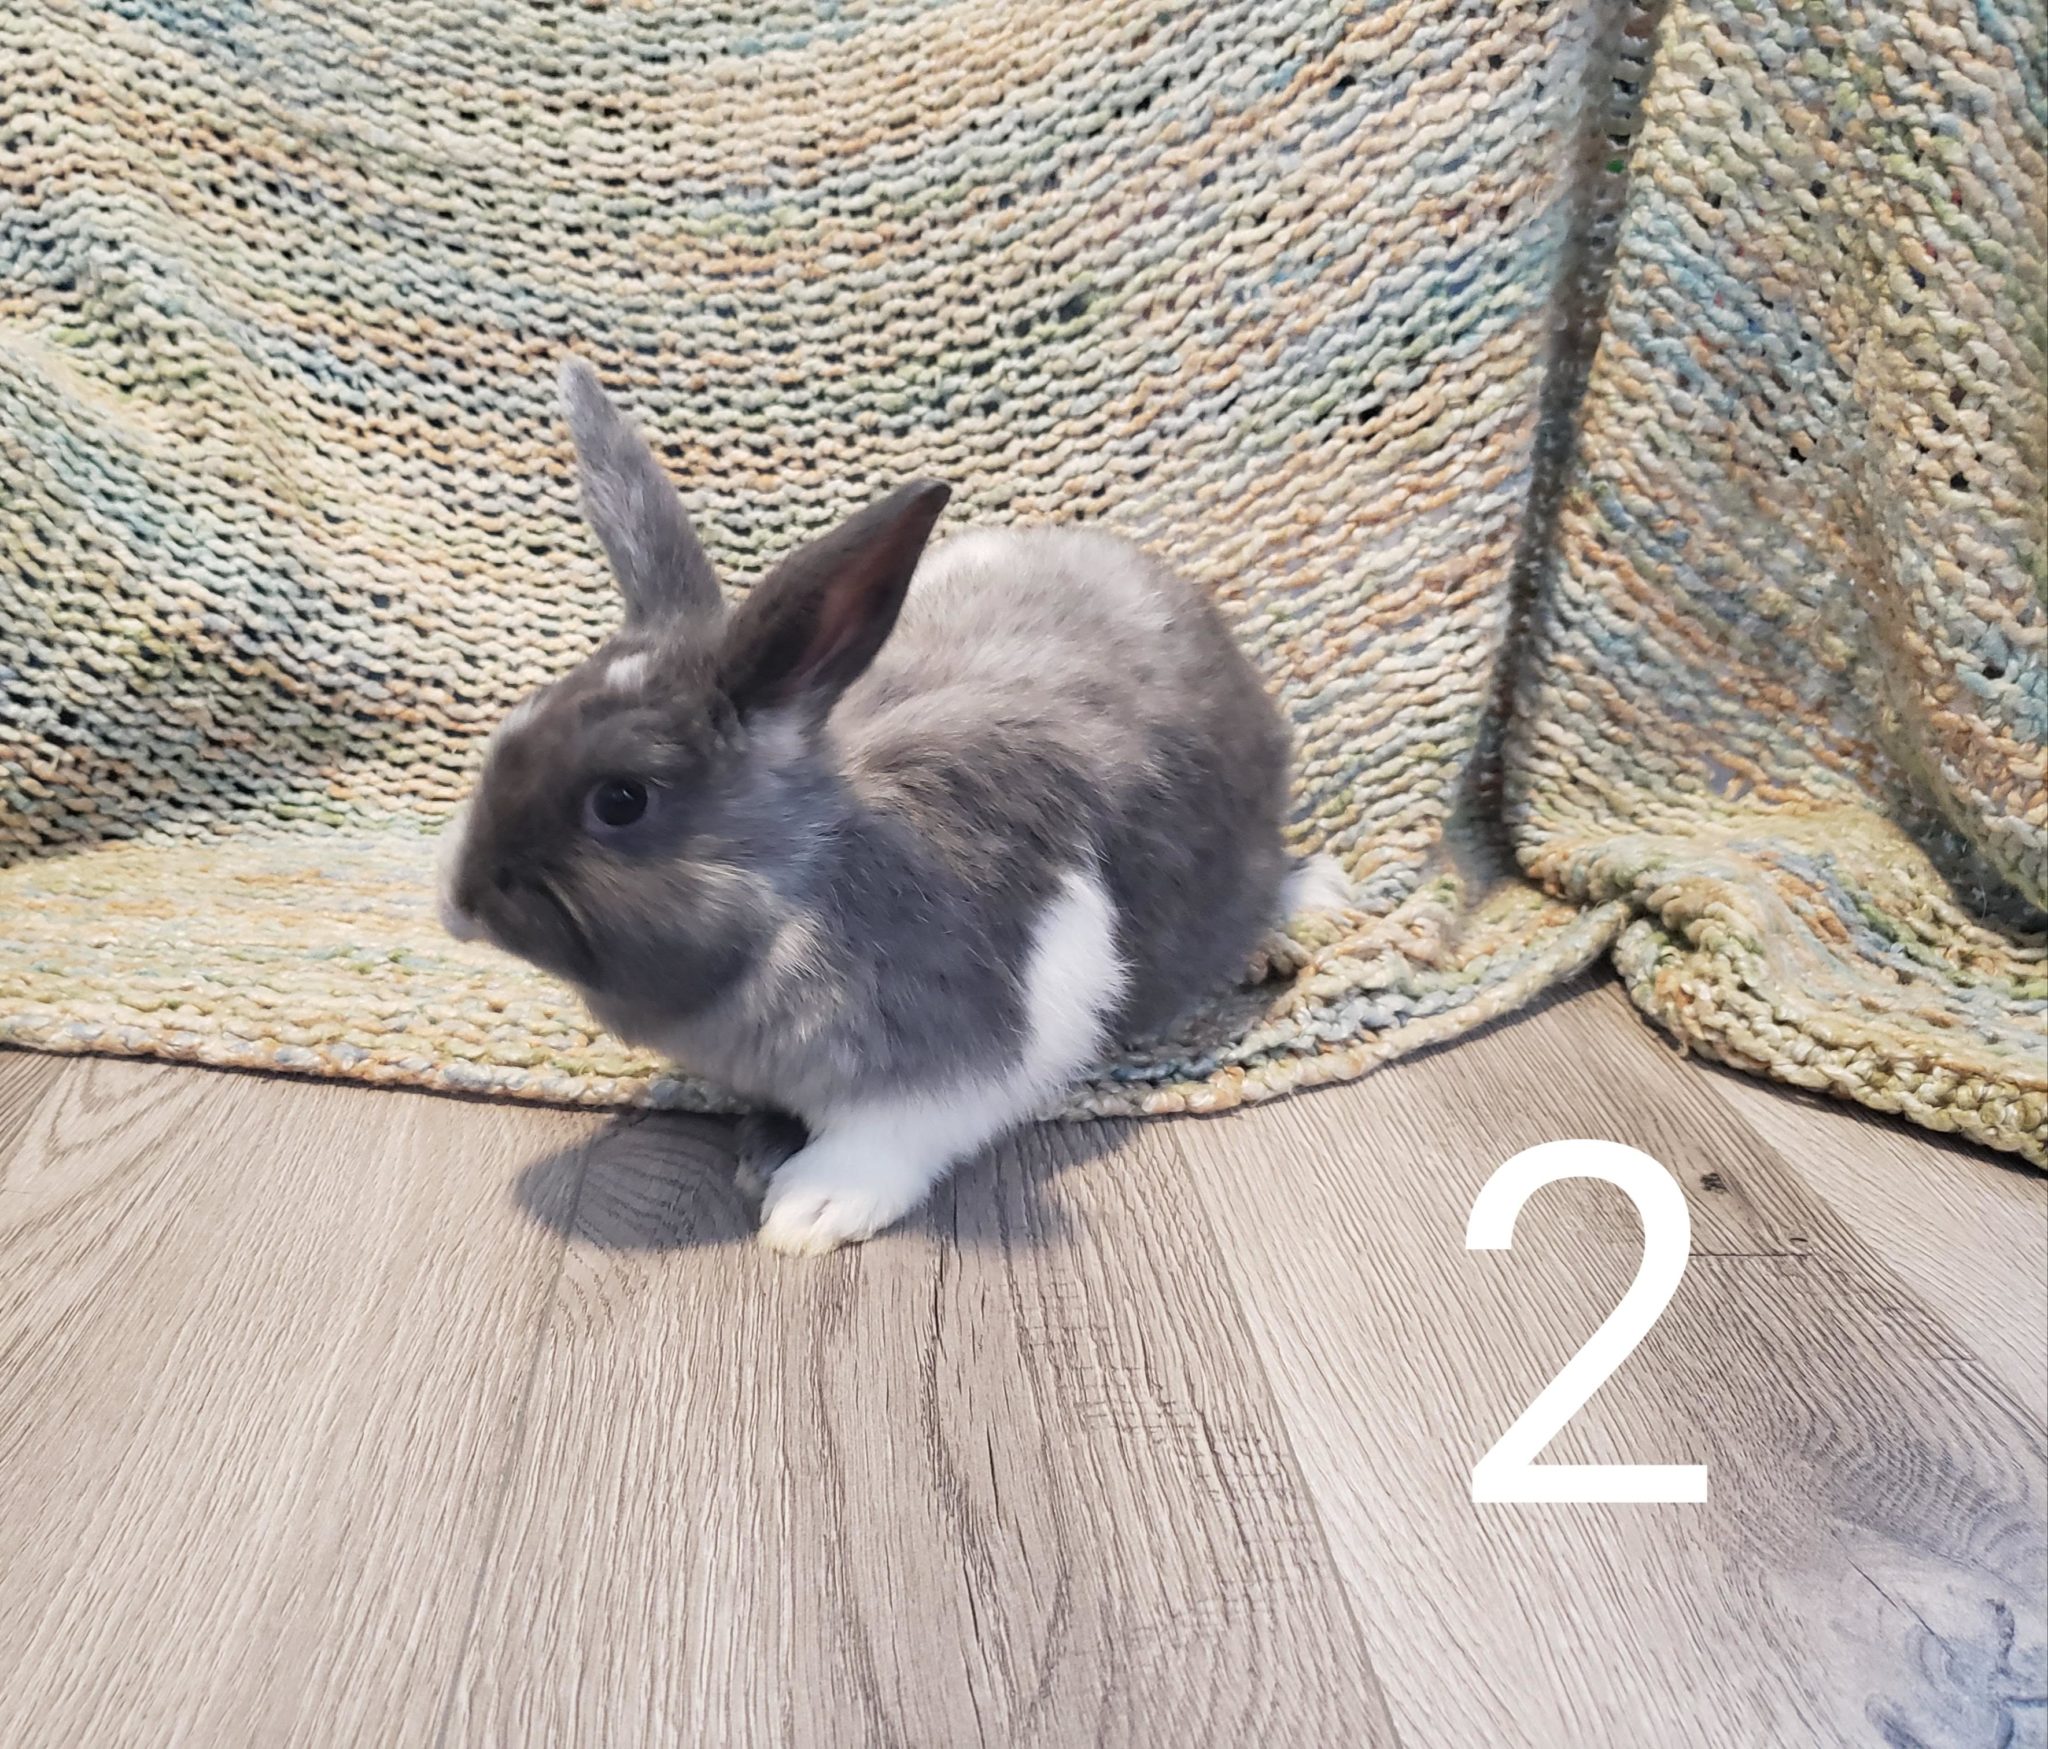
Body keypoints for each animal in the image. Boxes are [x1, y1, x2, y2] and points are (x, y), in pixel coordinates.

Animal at [439, 359, 1345, 1254]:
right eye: (516, 723)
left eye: (621, 800)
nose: (459, 904)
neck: (802, 893)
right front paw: (766, 1148)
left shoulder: (980, 1051)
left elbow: (895, 1134)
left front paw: (811, 1206)